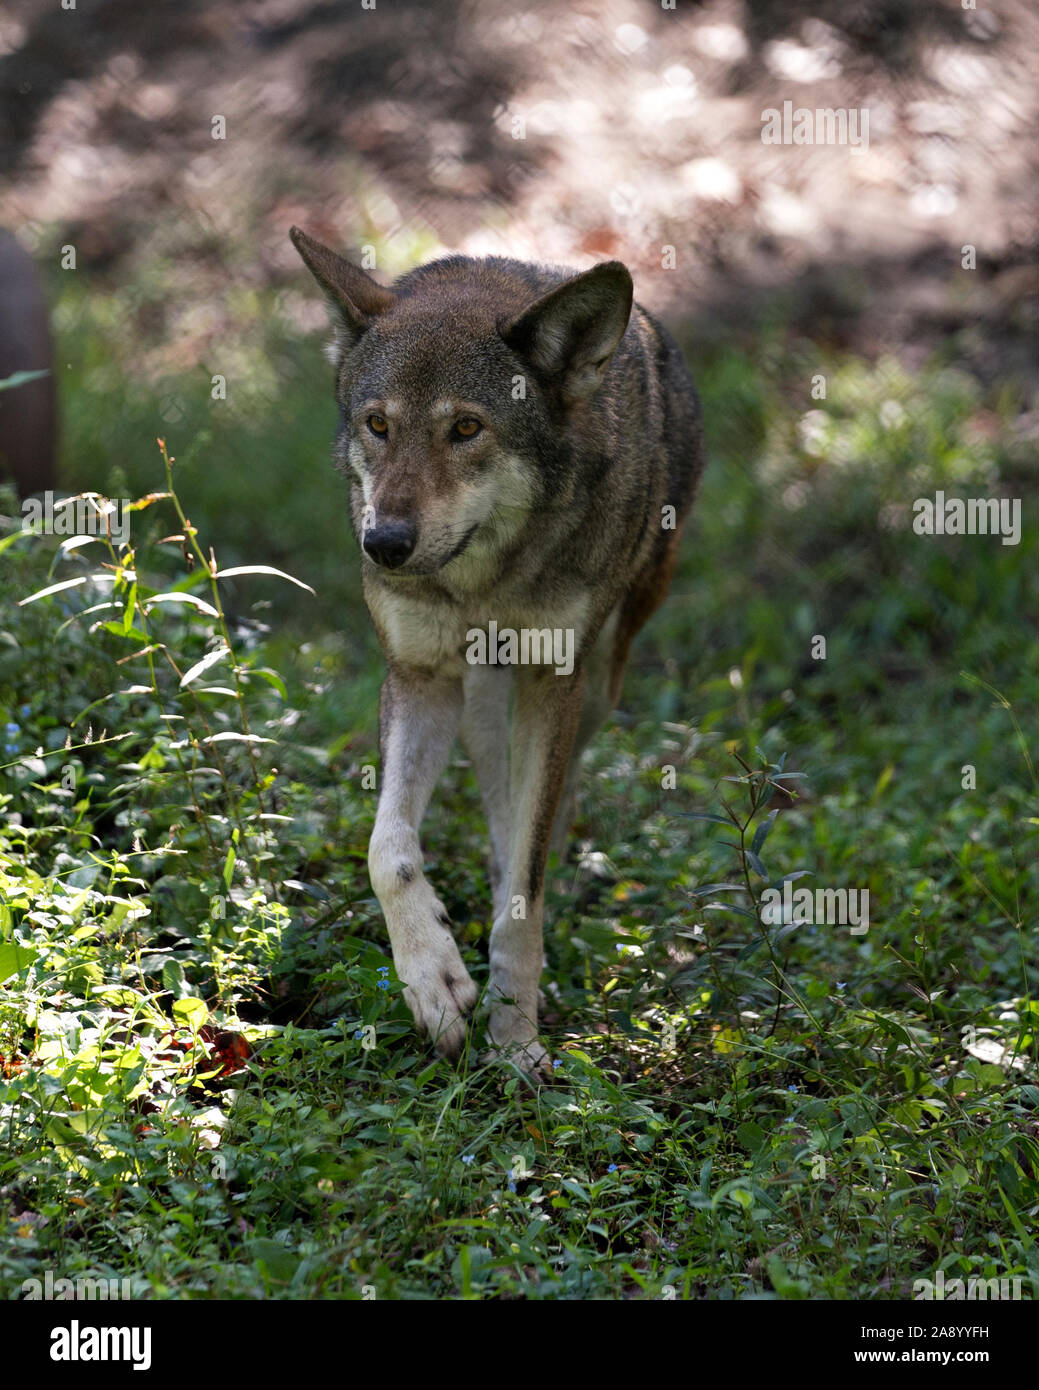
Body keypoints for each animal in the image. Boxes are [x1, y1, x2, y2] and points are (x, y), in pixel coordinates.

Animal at [291, 227, 704, 1077]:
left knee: (548, 802)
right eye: (377, 424)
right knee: (493, 789)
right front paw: (436, 982)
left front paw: (514, 1041)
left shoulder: (553, 681)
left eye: (466, 429)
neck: (481, 579)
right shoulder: (418, 674)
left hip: (596, 683)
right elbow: (388, 849)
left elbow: (527, 886)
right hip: (481, 689)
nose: (384, 544)